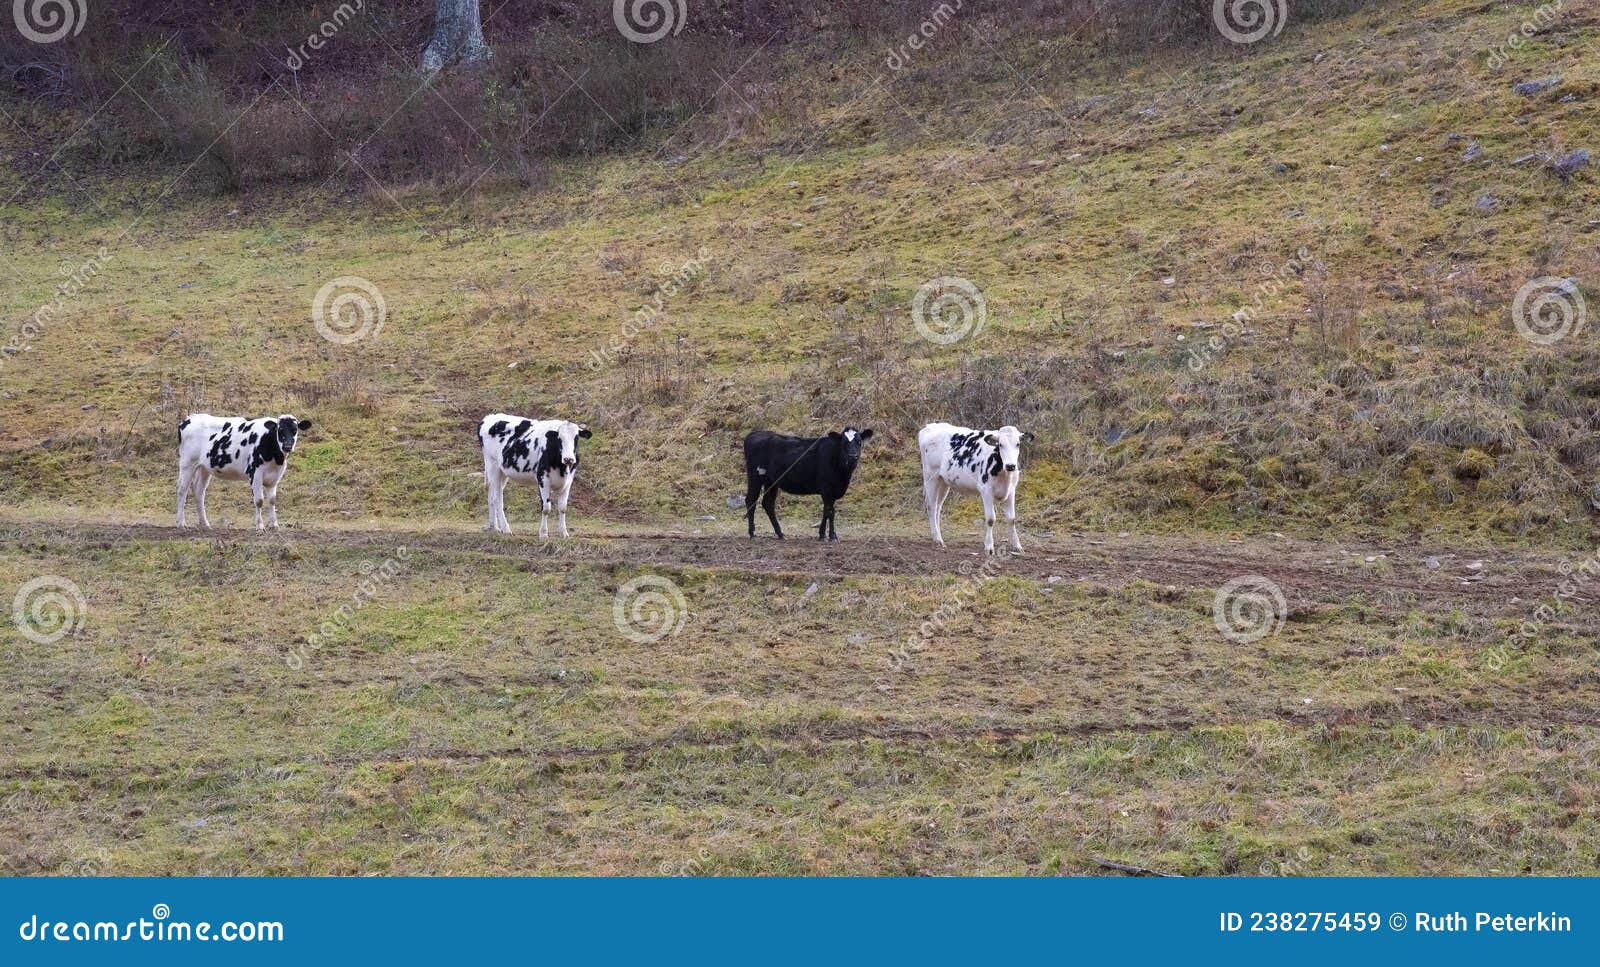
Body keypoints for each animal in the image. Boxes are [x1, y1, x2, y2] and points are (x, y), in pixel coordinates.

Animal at [176, 413, 313, 530]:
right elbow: (259, 500)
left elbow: (272, 500)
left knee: (199, 491)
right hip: (187, 463)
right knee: (182, 489)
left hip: (204, 467)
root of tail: (188, 418)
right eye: (280, 430)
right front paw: (260, 526)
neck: (276, 458)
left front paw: (274, 524)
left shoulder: (275, 477)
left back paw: (205, 524)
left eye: (295, 430)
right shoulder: (255, 473)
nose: (287, 446)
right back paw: (181, 523)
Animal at [743, 427, 873, 541]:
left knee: (768, 503)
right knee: (751, 500)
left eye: (859, 442)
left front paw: (822, 534)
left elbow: (826, 511)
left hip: (771, 481)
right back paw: (752, 533)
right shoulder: (826, 488)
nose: (853, 456)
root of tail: (755, 434)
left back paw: (780, 534)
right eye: (844, 442)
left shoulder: (833, 490)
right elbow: (830, 511)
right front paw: (832, 536)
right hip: (755, 476)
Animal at [918, 422, 1032, 556]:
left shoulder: (1011, 490)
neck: (1004, 473)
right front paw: (989, 547)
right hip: (931, 477)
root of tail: (930, 426)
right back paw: (937, 539)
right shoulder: (986, 490)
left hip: (943, 481)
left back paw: (938, 537)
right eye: (1000, 444)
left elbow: (1011, 519)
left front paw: (1017, 546)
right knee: (931, 506)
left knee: (938, 507)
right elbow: (990, 518)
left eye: (1018, 444)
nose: (1010, 465)